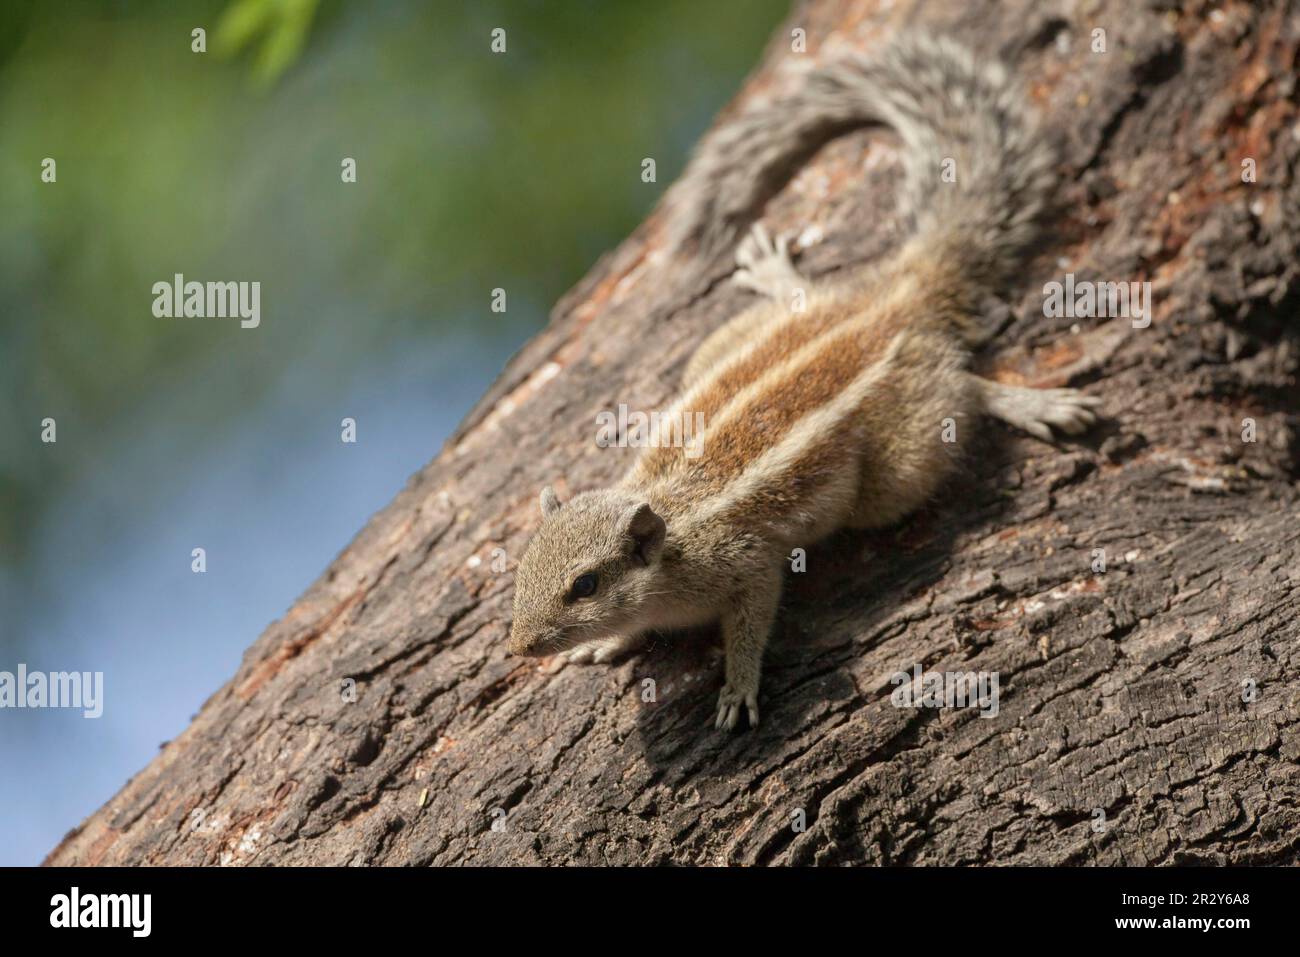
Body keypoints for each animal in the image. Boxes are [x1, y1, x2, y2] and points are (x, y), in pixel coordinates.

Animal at [506, 34, 1100, 731]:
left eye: (586, 585)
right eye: (522, 567)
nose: (520, 647)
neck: (675, 526)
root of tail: (888, 300)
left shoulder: (746, 563)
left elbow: (752, 621)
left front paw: (737, 687)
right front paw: (606, 644)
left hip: (898, 464)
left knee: (963, 387)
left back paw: (1028, 403)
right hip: (730, 339)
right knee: (809, 299)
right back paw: (777, 275)